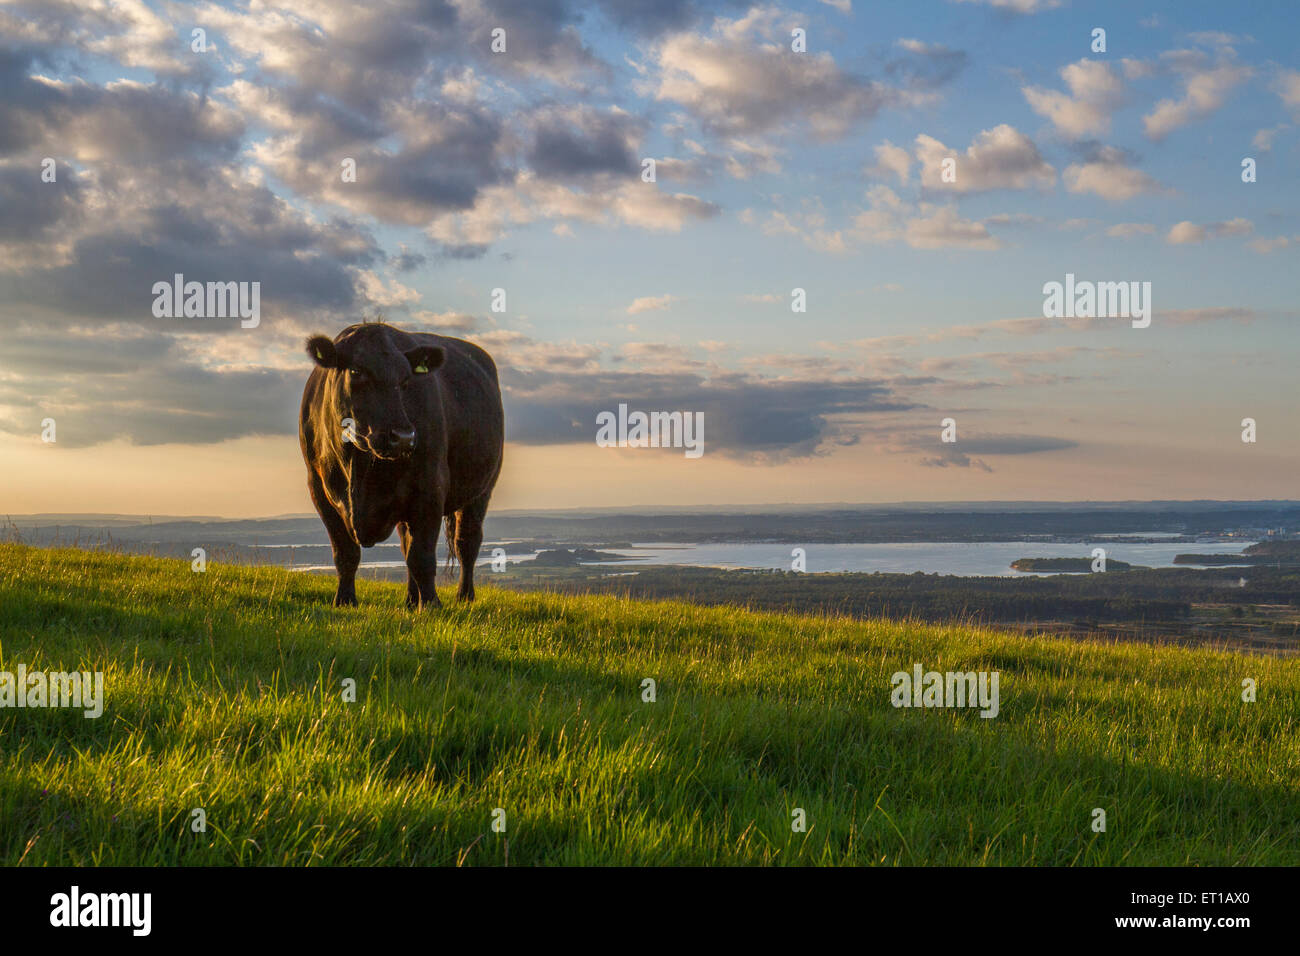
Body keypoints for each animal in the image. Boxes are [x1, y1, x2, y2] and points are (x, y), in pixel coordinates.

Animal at [299, 322, 504, 609]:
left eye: (406, 380)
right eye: (356, 371)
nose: (404, 436)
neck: (359, 466)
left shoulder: (430, 487)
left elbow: (422, 556)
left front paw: (431, 604)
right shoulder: (319, 489)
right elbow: (345, 552)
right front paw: (344, 600)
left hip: (482, 488)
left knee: (467, 543)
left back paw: (464, 596)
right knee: (407, 542)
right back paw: (409, 599)